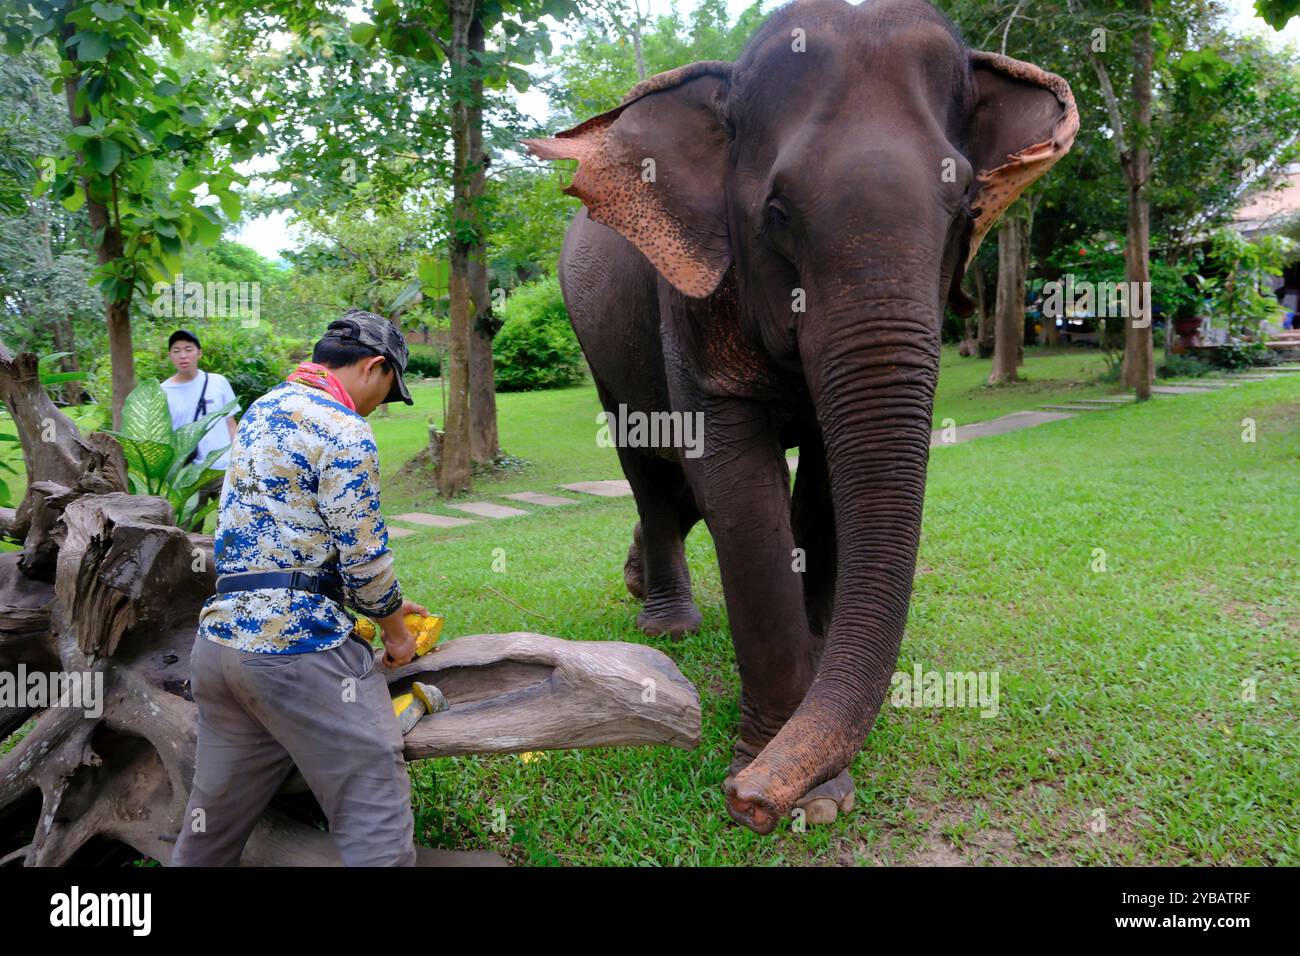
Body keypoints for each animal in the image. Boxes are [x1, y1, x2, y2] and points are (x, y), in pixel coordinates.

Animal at [524, 0, 1077, 834]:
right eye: (777, 213)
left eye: (963, 210)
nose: (750, 802)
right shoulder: (687, 295)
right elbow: (737, 488)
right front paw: (804, 791)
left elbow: (819, 488)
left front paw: (808, 749)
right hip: (600, 346)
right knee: (648, 467)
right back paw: (670, 626)